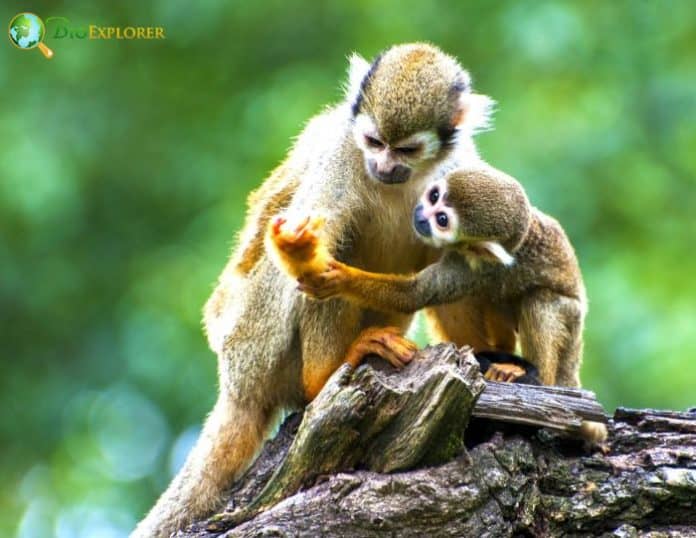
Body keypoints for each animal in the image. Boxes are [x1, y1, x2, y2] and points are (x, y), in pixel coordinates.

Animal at [133, 43, 495, 537]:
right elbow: (317, 230)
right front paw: (301, 248)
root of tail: (236, 386)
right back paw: (324, 375)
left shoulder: (460, 170)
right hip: (251, 345)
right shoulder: (342, 152)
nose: (383, 166)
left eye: (406, 149)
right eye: (374, 143)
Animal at [268, 166, 608, 443]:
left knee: (542, 302)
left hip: (571, 320)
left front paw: (340, 279)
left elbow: (415, 295)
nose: (421, 216)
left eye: (442, 220)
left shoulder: (471, 268)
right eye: (434, 196)